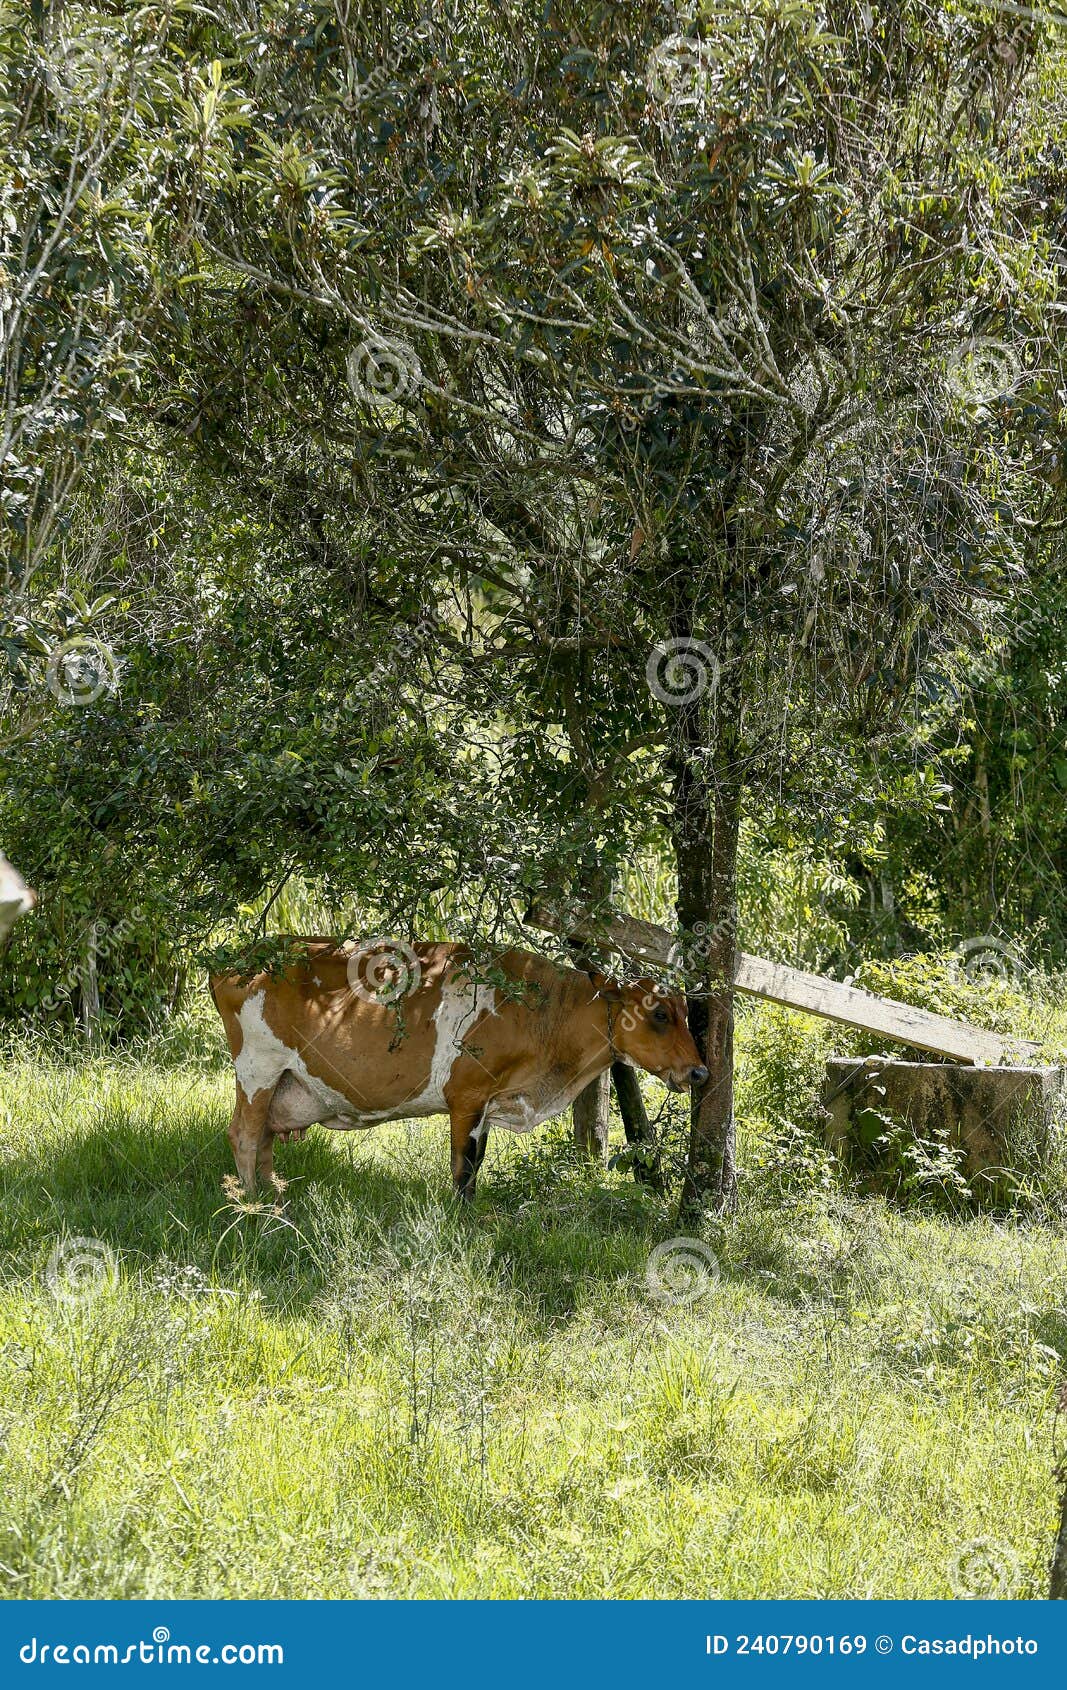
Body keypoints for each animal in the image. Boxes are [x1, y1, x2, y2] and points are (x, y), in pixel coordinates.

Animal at [210, 940, 708, 1200]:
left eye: (687, 1011)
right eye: (658, 1013)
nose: (699, 1072)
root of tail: (233, 958)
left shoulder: (487, 1103)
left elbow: (477, 1162)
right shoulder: (467, 1094)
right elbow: (464, 1166)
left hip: (280, 1080)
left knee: (265, 1137)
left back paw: (272, 1194)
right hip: (258, 1068)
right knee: (246, 1135)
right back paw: (252, 1204)